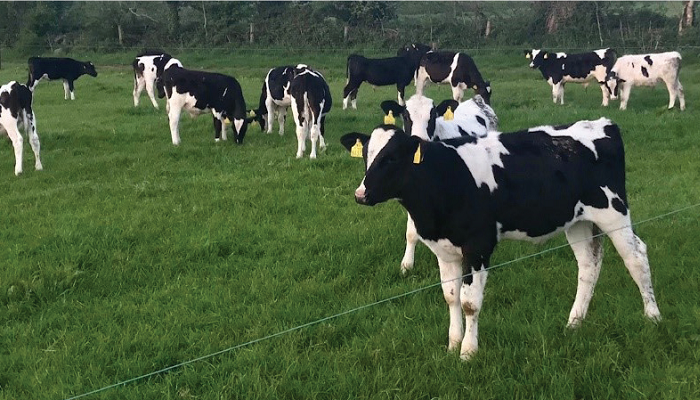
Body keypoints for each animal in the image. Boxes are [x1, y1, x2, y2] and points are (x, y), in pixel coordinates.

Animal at [340, 118, 661, 360]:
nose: (360, 194)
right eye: (367, 155)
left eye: (391, 158)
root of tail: (602, 124)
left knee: (636, 257)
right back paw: (574, 323)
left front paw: (468, 352)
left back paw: (653, 316)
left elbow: (470, 302)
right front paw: (452, 345)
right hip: (578, 221)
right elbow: (451, 296)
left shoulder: (478, 245)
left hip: (613, 212)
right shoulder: (443, 249)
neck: (444, 177)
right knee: (588, 266)